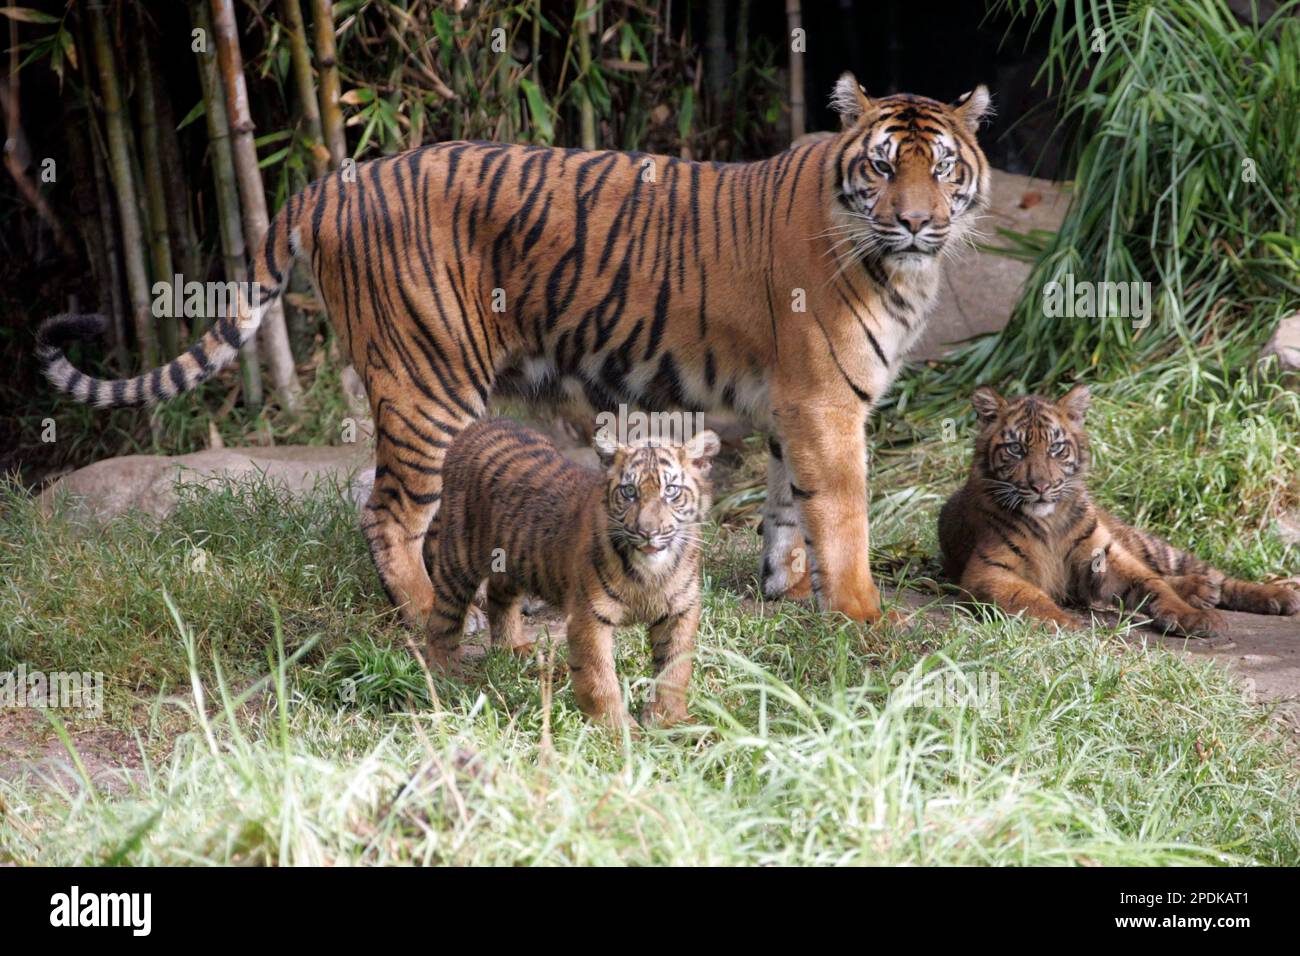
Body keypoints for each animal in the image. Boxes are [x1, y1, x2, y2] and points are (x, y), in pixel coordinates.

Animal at [36, 72, 991, 630]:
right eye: (883, 166)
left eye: (943, 168)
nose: (917, 222)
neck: (896, 263)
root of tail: (337, 177)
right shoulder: (825, 402)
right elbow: (846, 514)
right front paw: (864, 614)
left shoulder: (796, 407)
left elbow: (790, 507)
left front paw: (786, 591)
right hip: (427, 383)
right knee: (387, 514)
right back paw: (433, 617)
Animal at [425, 416, 719, 728]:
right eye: (629, 492)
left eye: (671, 491)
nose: (647, 532)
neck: (650, 572)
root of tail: (483, 423)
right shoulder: (589, 615)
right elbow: (599, 676)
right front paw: (617, 729)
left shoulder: (681, 610)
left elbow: (675, 669)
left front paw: (669, 721)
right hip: (459, 555)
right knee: (443, 615)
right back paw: (445, 674)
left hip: (515, 556)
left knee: (498, 593)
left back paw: (512, 648)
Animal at [938, 384, 1300, 635]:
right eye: (1015, 449)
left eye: (1056, 448)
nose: (1041, 486)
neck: (1049, 521)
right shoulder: (989, 570)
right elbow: (1028, 597)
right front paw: (1061, 622)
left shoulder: (1106, 555)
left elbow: (1153, 584)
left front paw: (1190, 616)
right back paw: (1201, 590)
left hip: (1147, 544)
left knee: (1207, 574)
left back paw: (1276, 595)